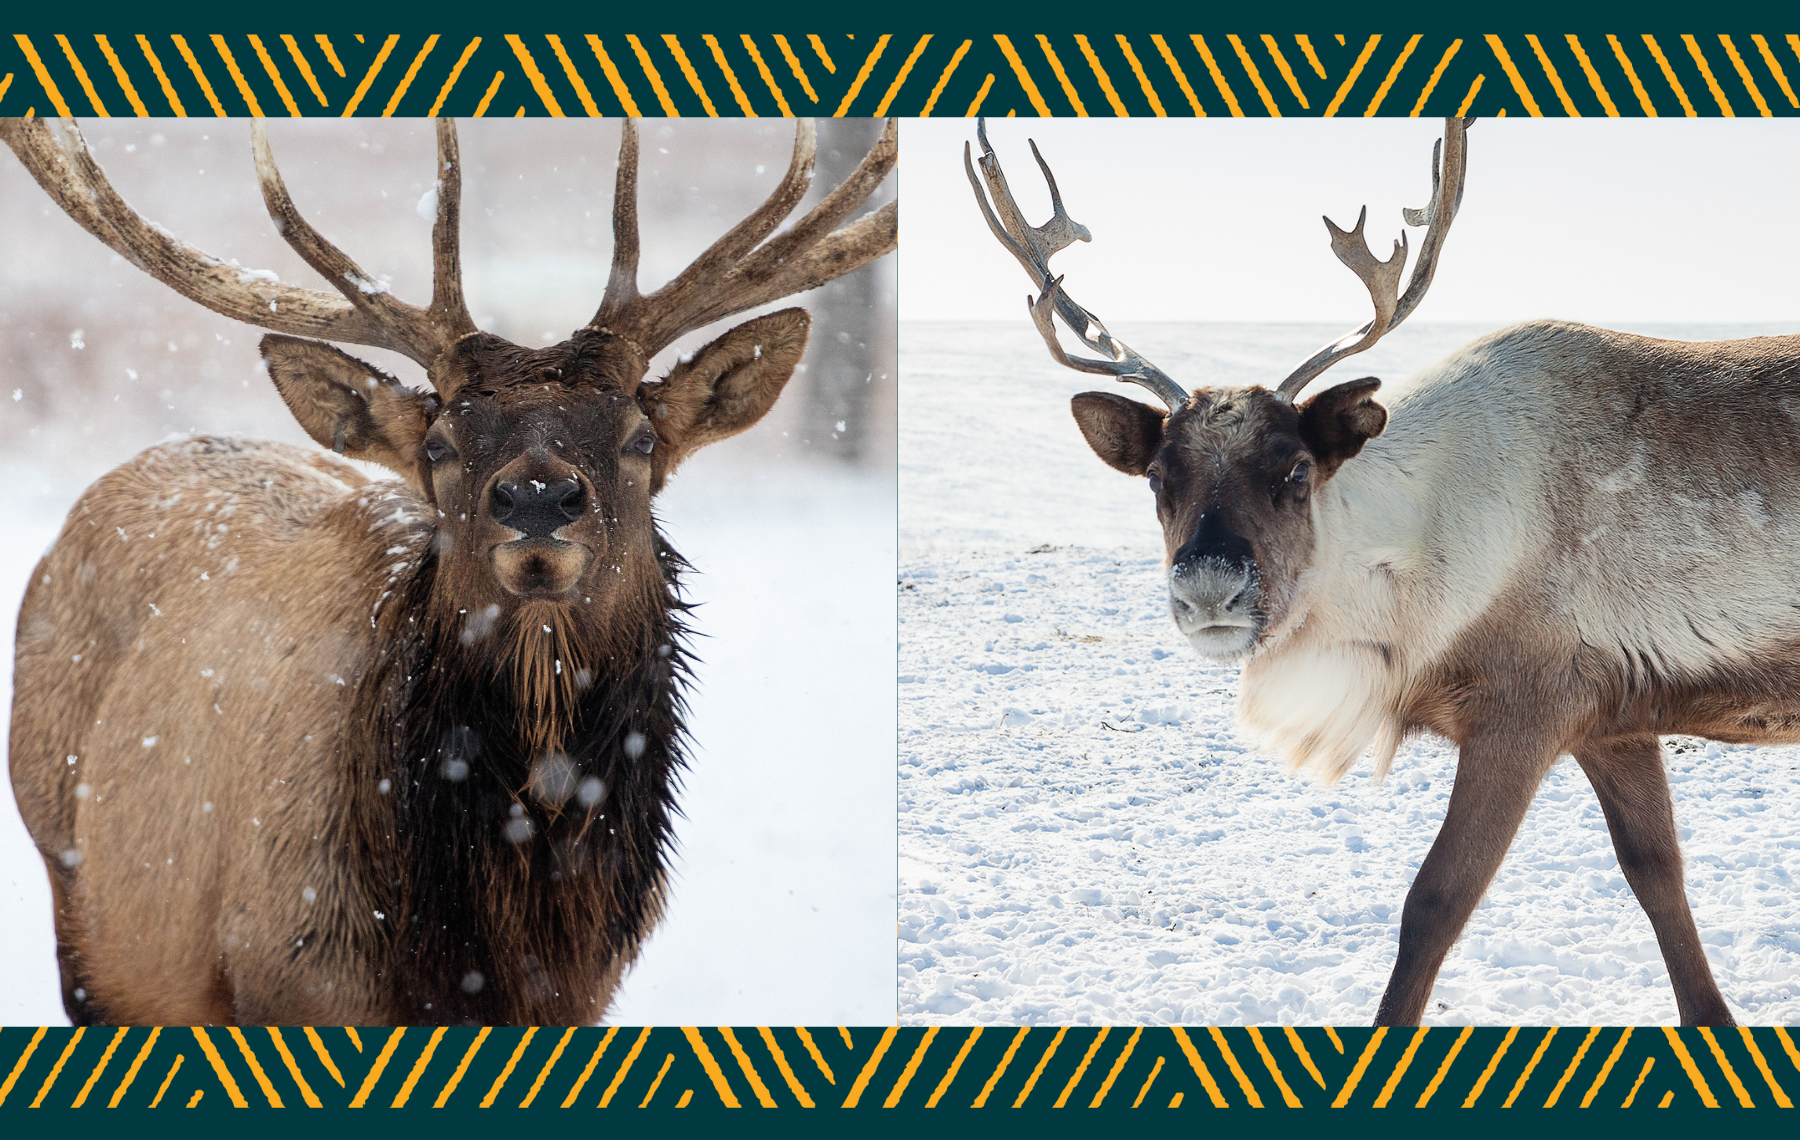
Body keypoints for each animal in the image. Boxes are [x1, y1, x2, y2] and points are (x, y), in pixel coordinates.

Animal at [965, 115, 1800, 1027]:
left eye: (1296, 471)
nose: (1208, 585)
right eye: (1157, 478)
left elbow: (1435, 902)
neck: (1409, 576)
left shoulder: (1524, 709)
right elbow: (1658, 874)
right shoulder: (1615, 717)